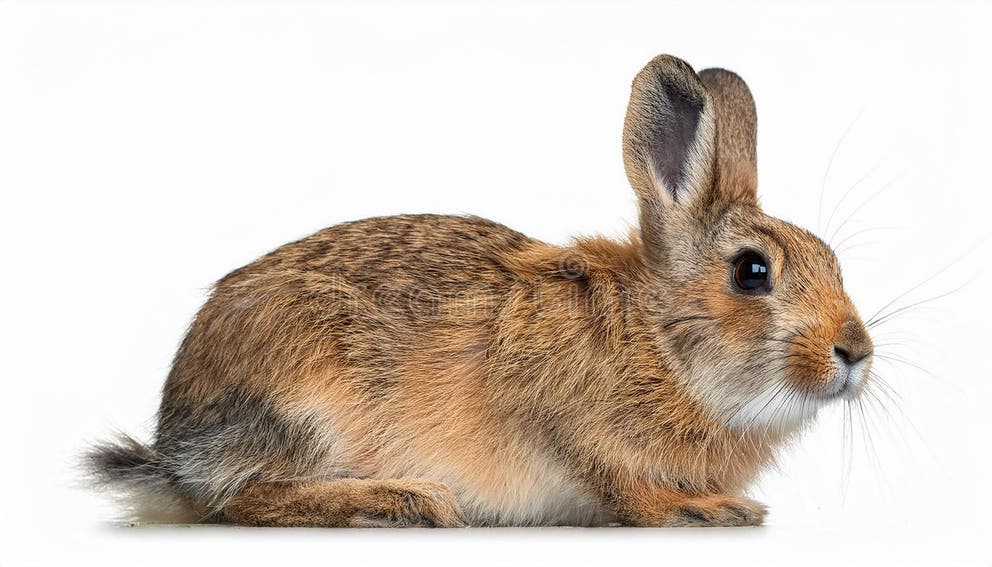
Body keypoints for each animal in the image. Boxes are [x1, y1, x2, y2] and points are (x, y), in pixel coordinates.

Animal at [86, 54, 873, 528]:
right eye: (751, 272)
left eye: (835, 262)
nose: (856, 351)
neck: (661, 341)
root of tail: (176, 447)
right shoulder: (569, 425)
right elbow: (620, 487)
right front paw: (707, 511)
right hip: (309, 399)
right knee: (244, 499)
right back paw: (400, 501)